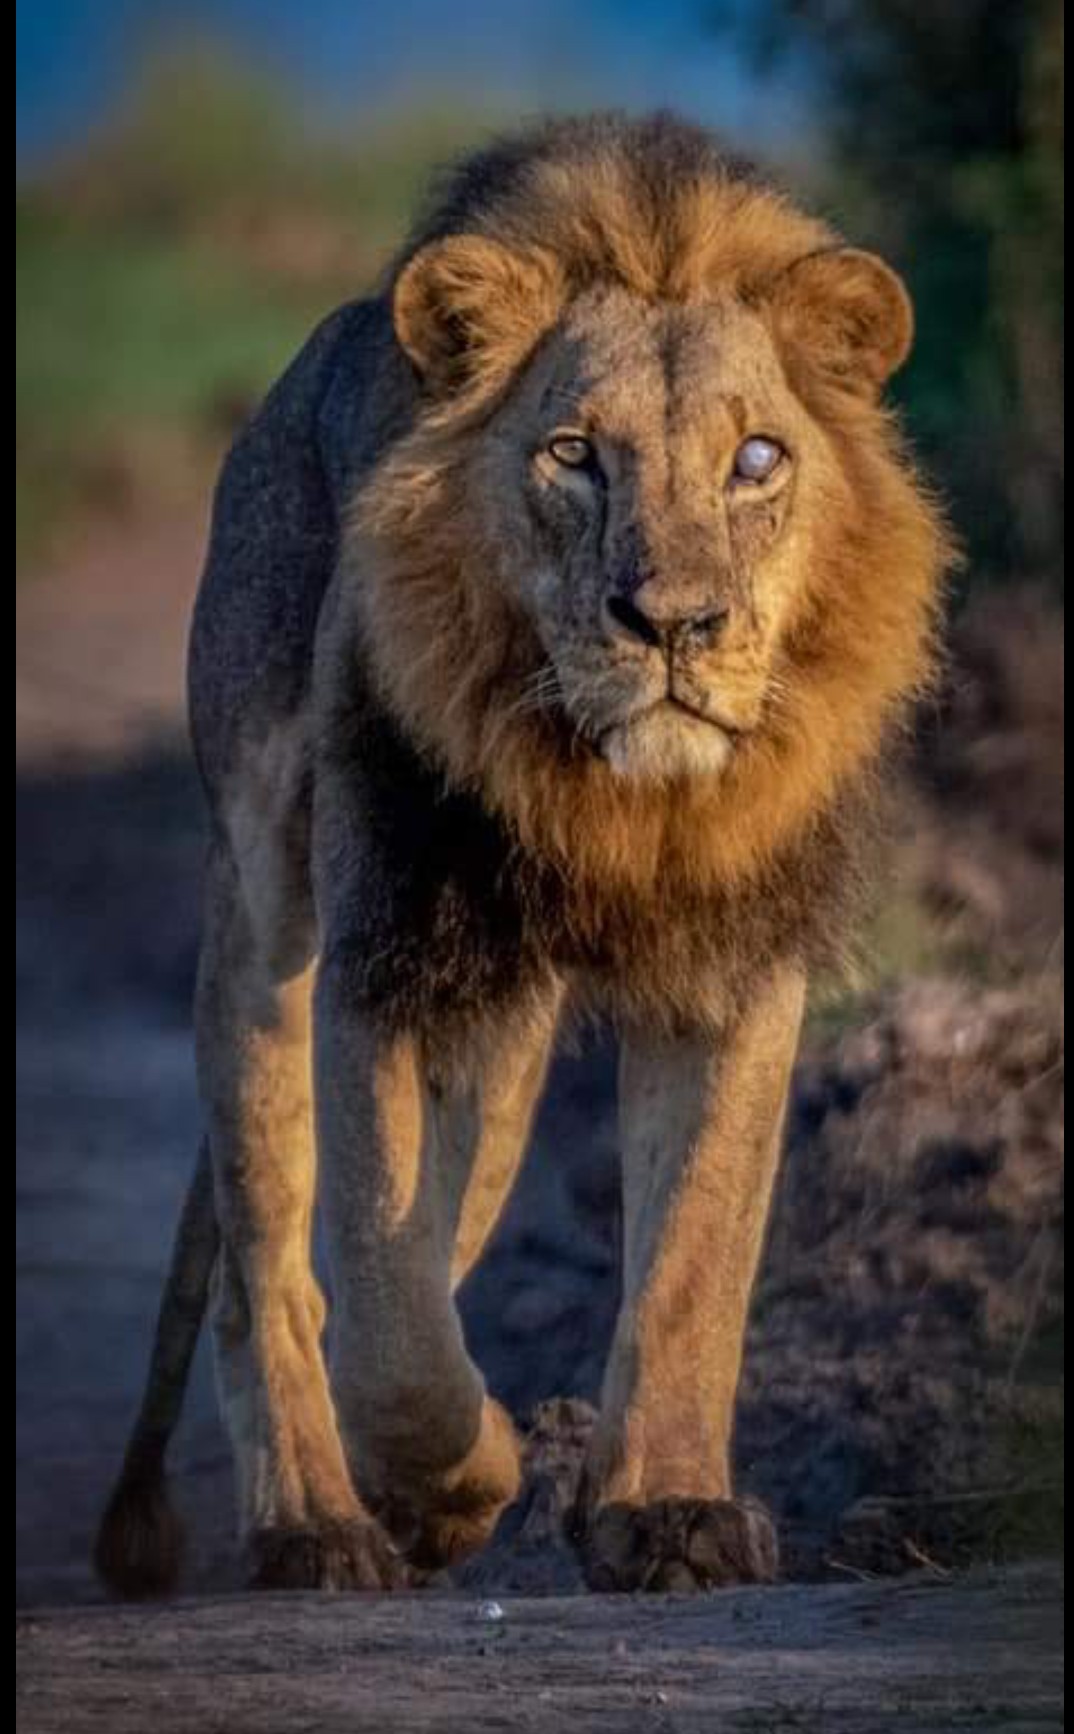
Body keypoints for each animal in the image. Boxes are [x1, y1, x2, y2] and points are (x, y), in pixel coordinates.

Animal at [96, 113, 950, 1599]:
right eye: (574, 455)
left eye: (756, 461)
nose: (672, 624)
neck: (622, 806)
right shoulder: (381, 955)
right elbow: (389, 1313)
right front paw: (458, 1480)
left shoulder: (737, 963)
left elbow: (694, 1254)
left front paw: (668, 1512)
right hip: (260, 903)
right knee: (272, 1256)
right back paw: (317, 1522)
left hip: (499, 1044)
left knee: (441, 1212)